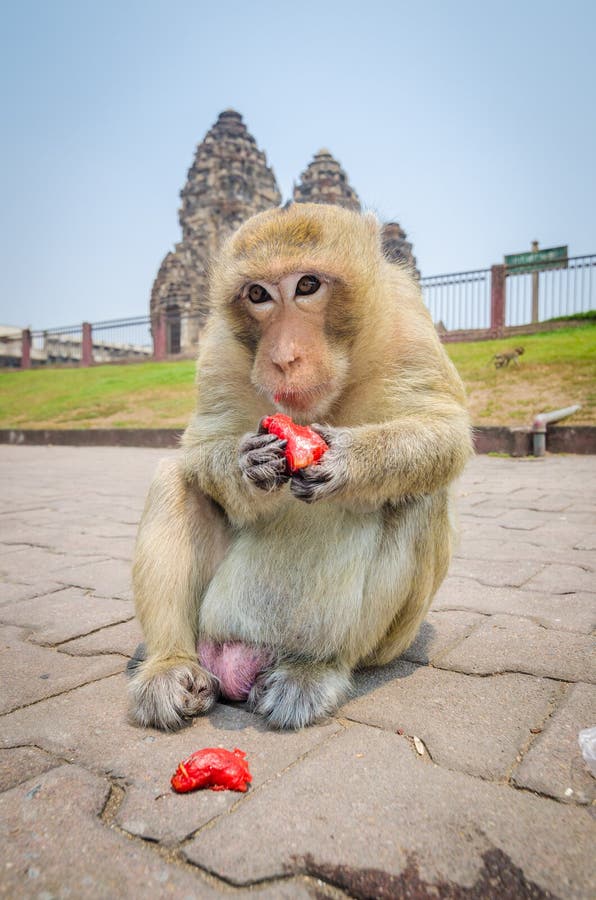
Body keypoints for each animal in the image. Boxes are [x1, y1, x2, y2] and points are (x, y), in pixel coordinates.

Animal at [129, 202, 472, 731]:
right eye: (258, 294)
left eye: (308, 285)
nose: (284, 357)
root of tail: (239, 660)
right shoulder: (220, 346)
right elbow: (201, 444)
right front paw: (249, 463)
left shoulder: (404, 317)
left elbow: (444, 428)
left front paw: (350, 461)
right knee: (176, 480)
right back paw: (170, 666)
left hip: (380, 644)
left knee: (420, 495)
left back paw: (315, 668)